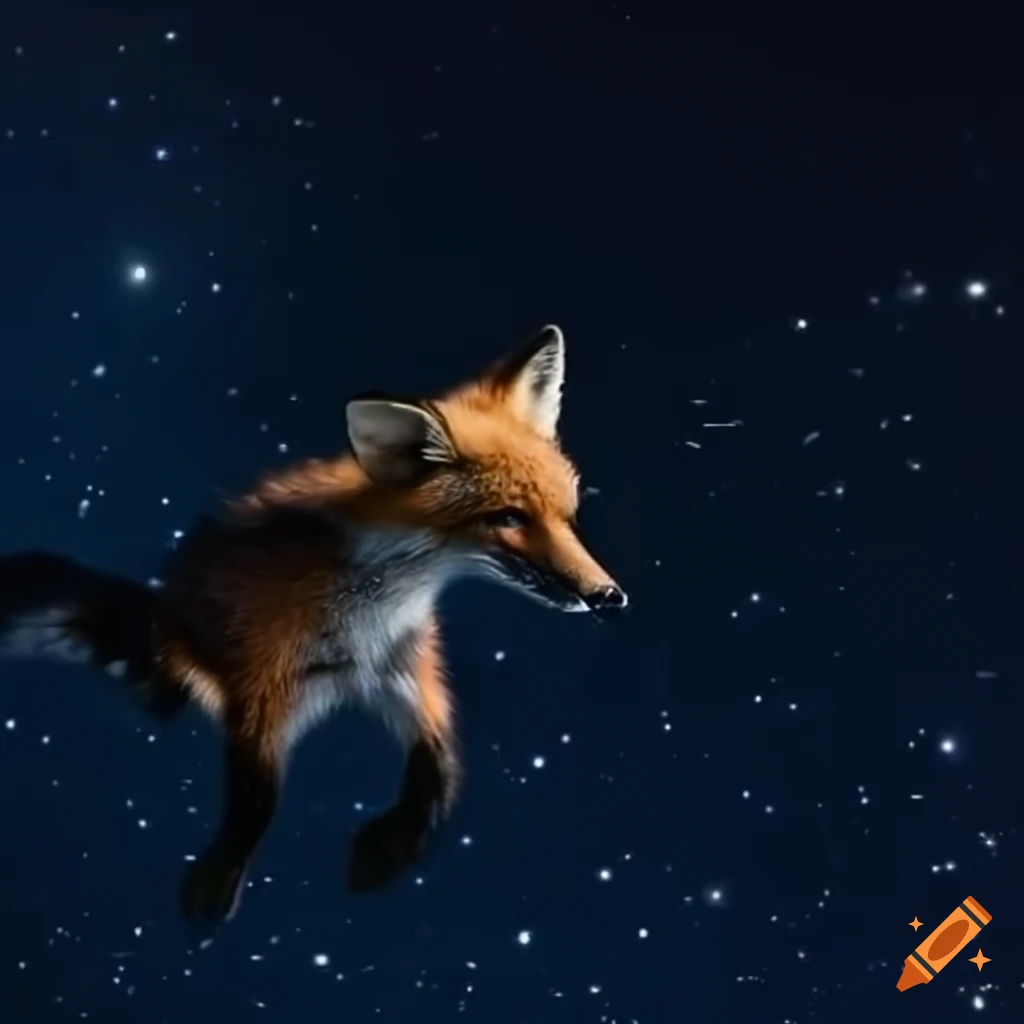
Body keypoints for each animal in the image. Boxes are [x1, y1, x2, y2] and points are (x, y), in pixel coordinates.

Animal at [0, 324, 626, 925]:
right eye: (509, 519)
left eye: (567, 514)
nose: (610, 598)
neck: (368, 618)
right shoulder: (263, 683)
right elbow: (257, 795)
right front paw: (223, 872)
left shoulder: (407, 670)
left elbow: (441, 766)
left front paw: (389, 850)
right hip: (178, 658)